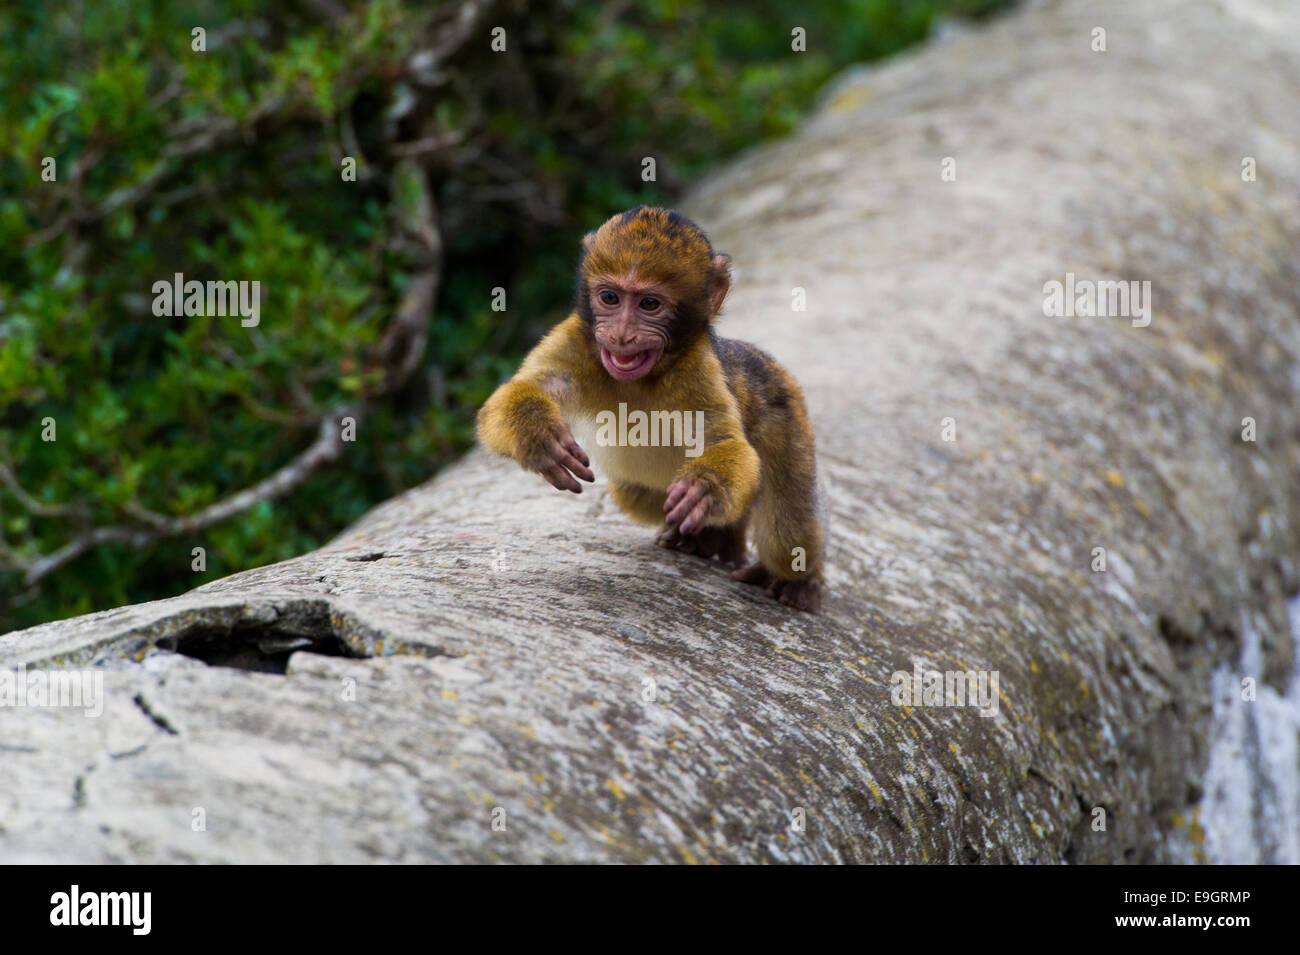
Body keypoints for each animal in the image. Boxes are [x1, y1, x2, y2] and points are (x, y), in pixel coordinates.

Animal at [476, 206, 826, 611]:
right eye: (610, 297)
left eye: (649, 304)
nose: (621, 335)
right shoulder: (576, 337)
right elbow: (524, 389)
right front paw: (538, 437)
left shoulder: (698, 367)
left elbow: (723, 443)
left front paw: (704, 489)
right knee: (631, 491)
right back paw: (711, 537)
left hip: (786, 407)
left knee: (790, 535)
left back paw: (798, 577)